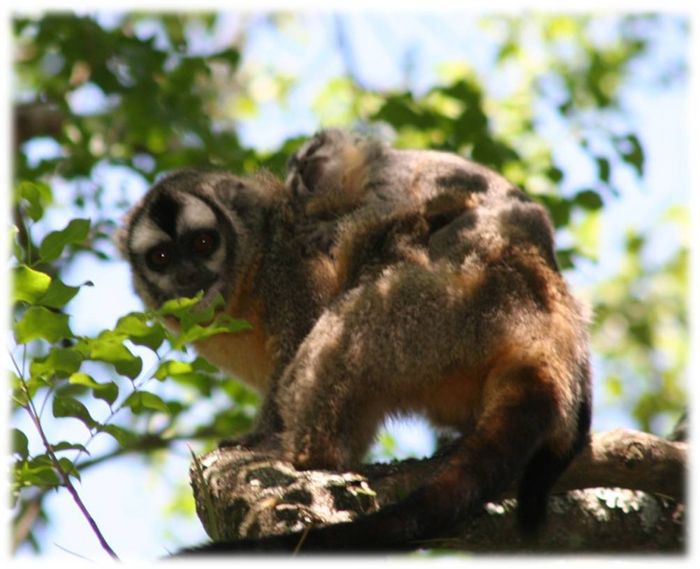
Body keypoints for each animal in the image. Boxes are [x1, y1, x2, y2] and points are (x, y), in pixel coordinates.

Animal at [117, 129, 592, 552]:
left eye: (203, 242)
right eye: (161, 257)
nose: (187, 275)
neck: (243, 281)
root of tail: (539, 304)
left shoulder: (287, 265)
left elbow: (302, 333)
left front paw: (259, 437)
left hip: (441, 306)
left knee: (344, 326)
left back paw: (303, 454)